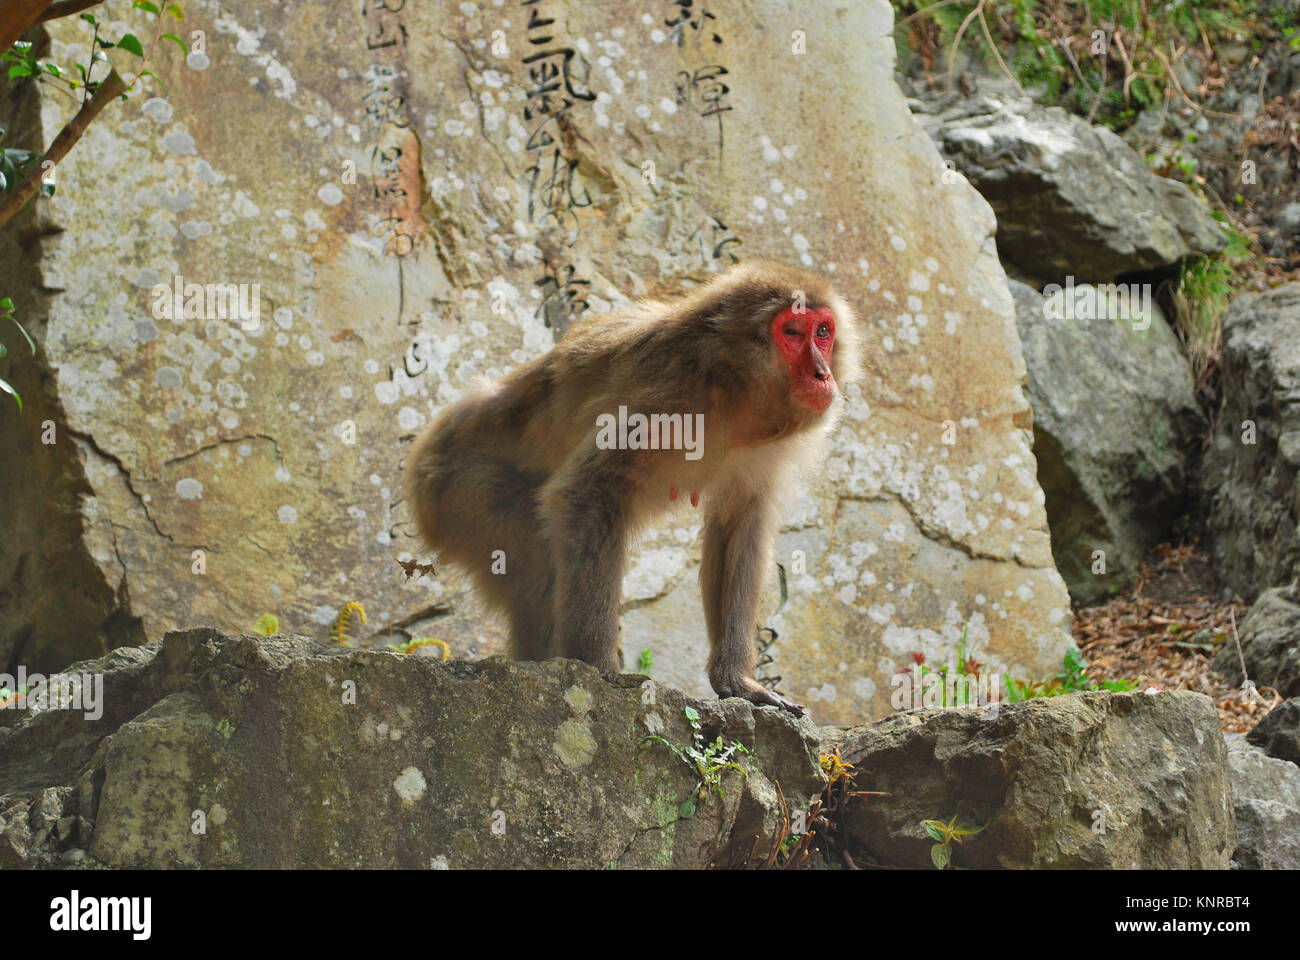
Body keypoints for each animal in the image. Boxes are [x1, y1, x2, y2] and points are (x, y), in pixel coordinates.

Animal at [404, 260, 860, 715]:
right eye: (792, 332)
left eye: (823, 331)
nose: (822, 374)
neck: (733, 386)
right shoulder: (668, 397)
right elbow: (587, 491)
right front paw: (594, 669)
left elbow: (739, 526)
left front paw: (737, 680)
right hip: (460, 491)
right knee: (536, 559)